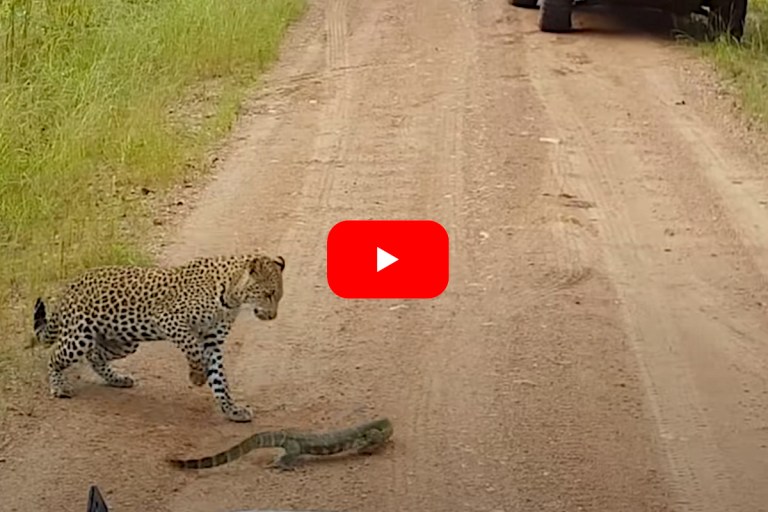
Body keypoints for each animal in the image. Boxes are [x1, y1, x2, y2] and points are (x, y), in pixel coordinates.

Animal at [32, 252, 285, 423]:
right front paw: (197, 376)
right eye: (267, 294)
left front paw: (232, 410)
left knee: (95, 355)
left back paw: (117, 379)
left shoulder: (213, 342)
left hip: (124, 341)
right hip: (79, 336)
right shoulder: (170, 321)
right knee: (55, 357)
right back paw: (59, 387)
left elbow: (220, 379)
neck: (231, 296)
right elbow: (193, 349)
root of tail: (71, 285)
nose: (272, 316)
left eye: (279, 296)